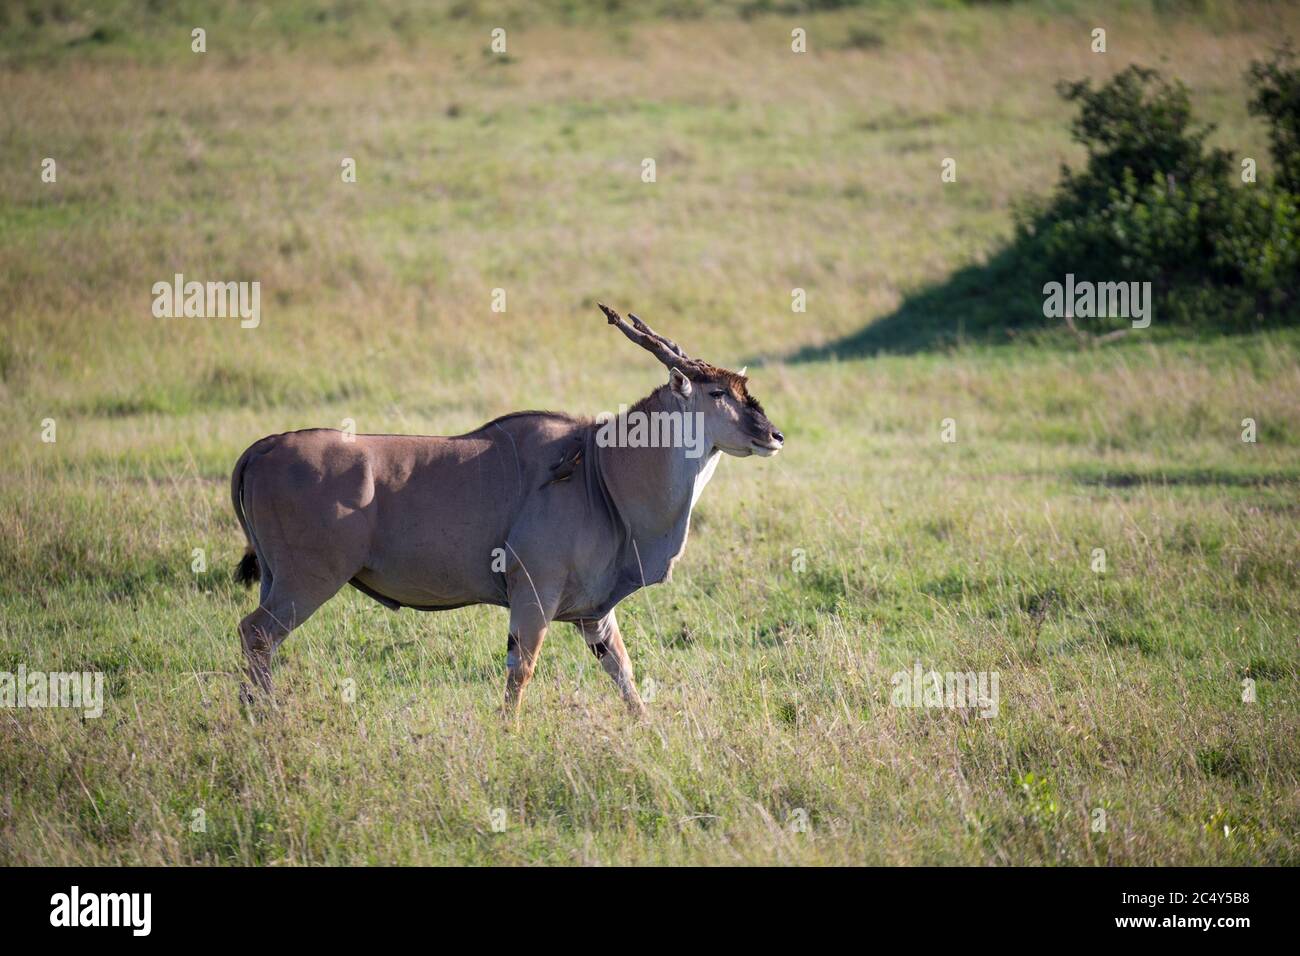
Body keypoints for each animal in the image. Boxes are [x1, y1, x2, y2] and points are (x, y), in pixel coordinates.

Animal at [230, 305, 784, 714]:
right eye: (718, 392)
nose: (775, 435)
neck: (600, 469)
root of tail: (262, 447)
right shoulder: (533, 593)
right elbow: (522, 672)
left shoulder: (594, 615)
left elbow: (624, 675)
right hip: (308, 580)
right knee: (257, 634)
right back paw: (264, 719)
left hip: (277, 579)